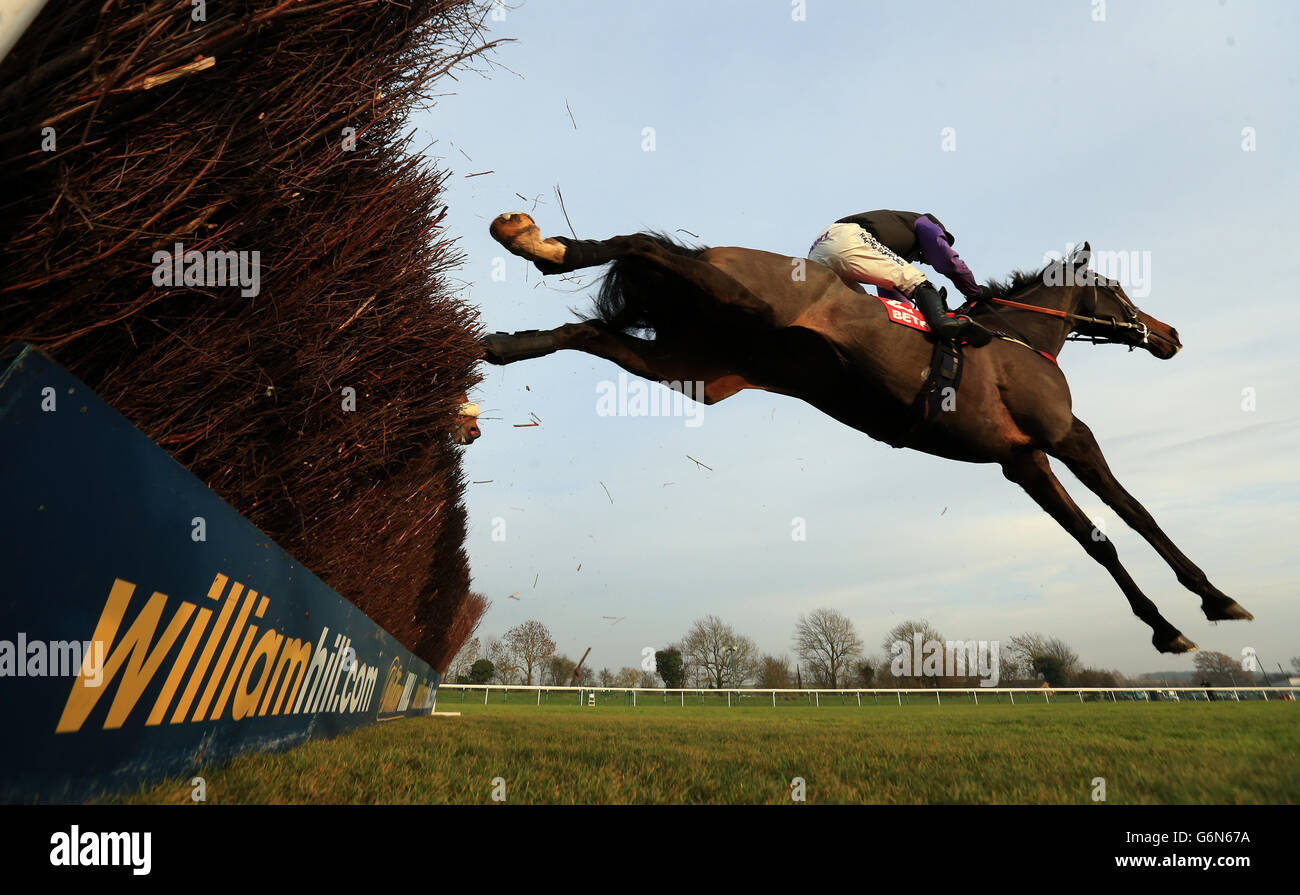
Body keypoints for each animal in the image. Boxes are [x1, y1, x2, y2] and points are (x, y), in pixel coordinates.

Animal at [478, 212, 1253, 654]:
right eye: (1118, 290)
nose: (1170, 335)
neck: (1021, 338)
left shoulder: (1021, 460)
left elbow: (1098, 541)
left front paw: (1164, 626)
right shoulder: (1065, 437)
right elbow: (1138, 514)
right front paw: (1214, 597)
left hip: (696, 366)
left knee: (591, 332)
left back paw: (507, 343)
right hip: (742, 303)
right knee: (643, 243)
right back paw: (538, 241)